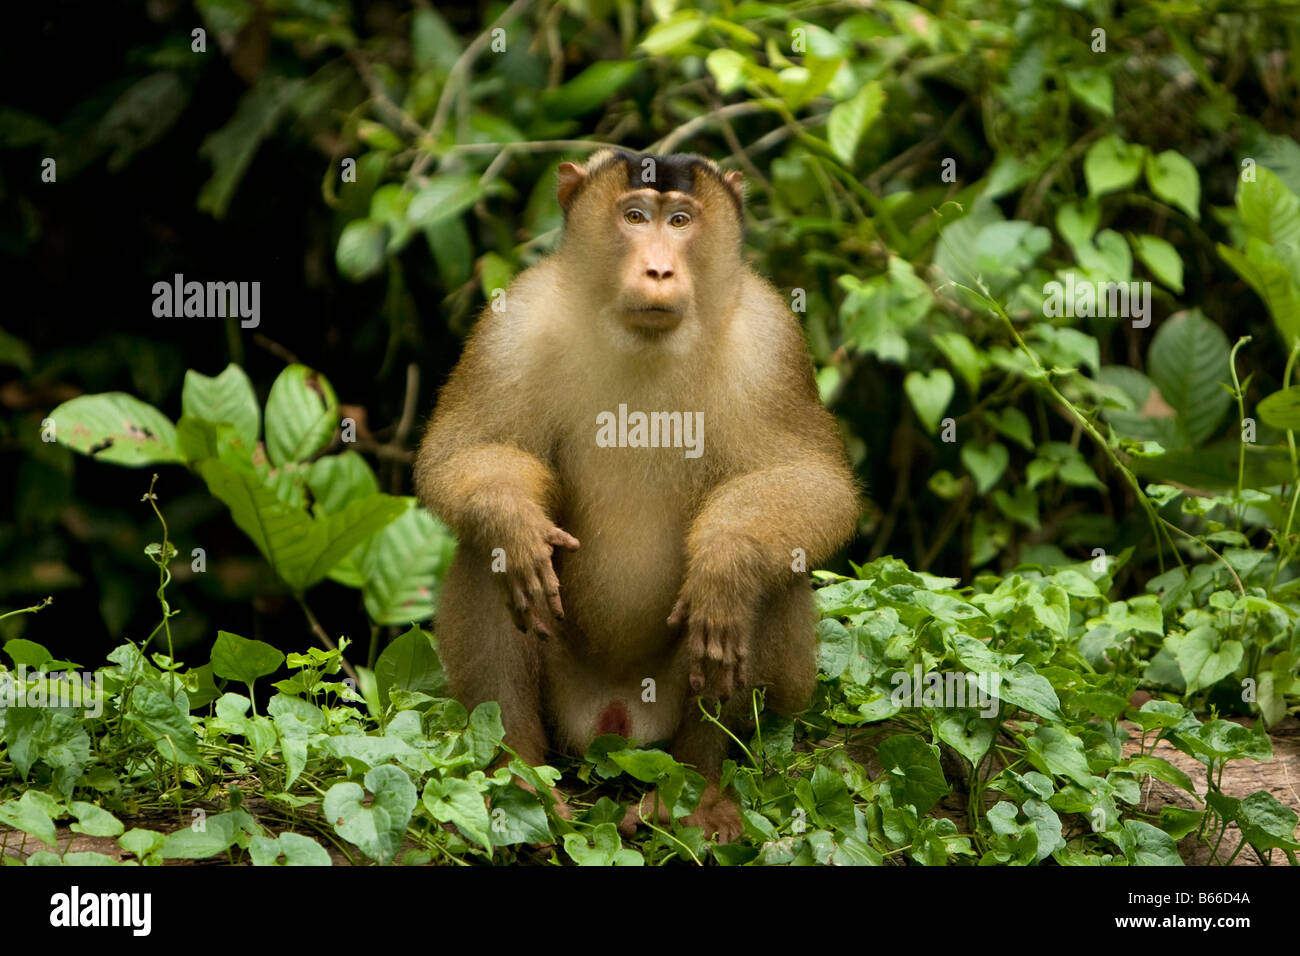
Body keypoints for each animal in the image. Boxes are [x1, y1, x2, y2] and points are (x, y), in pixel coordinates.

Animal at [414, 149, 860, 844]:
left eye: (679, 220)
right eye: (634, 216)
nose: (658, 269)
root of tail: (618, 720)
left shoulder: (772, 340)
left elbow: (813, 481)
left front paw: (727, 559)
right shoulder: (512, 322)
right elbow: (462, 453)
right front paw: (512, 520)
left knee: (765, 579)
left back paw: (700, 785)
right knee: (492, 560)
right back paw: (520, 776)